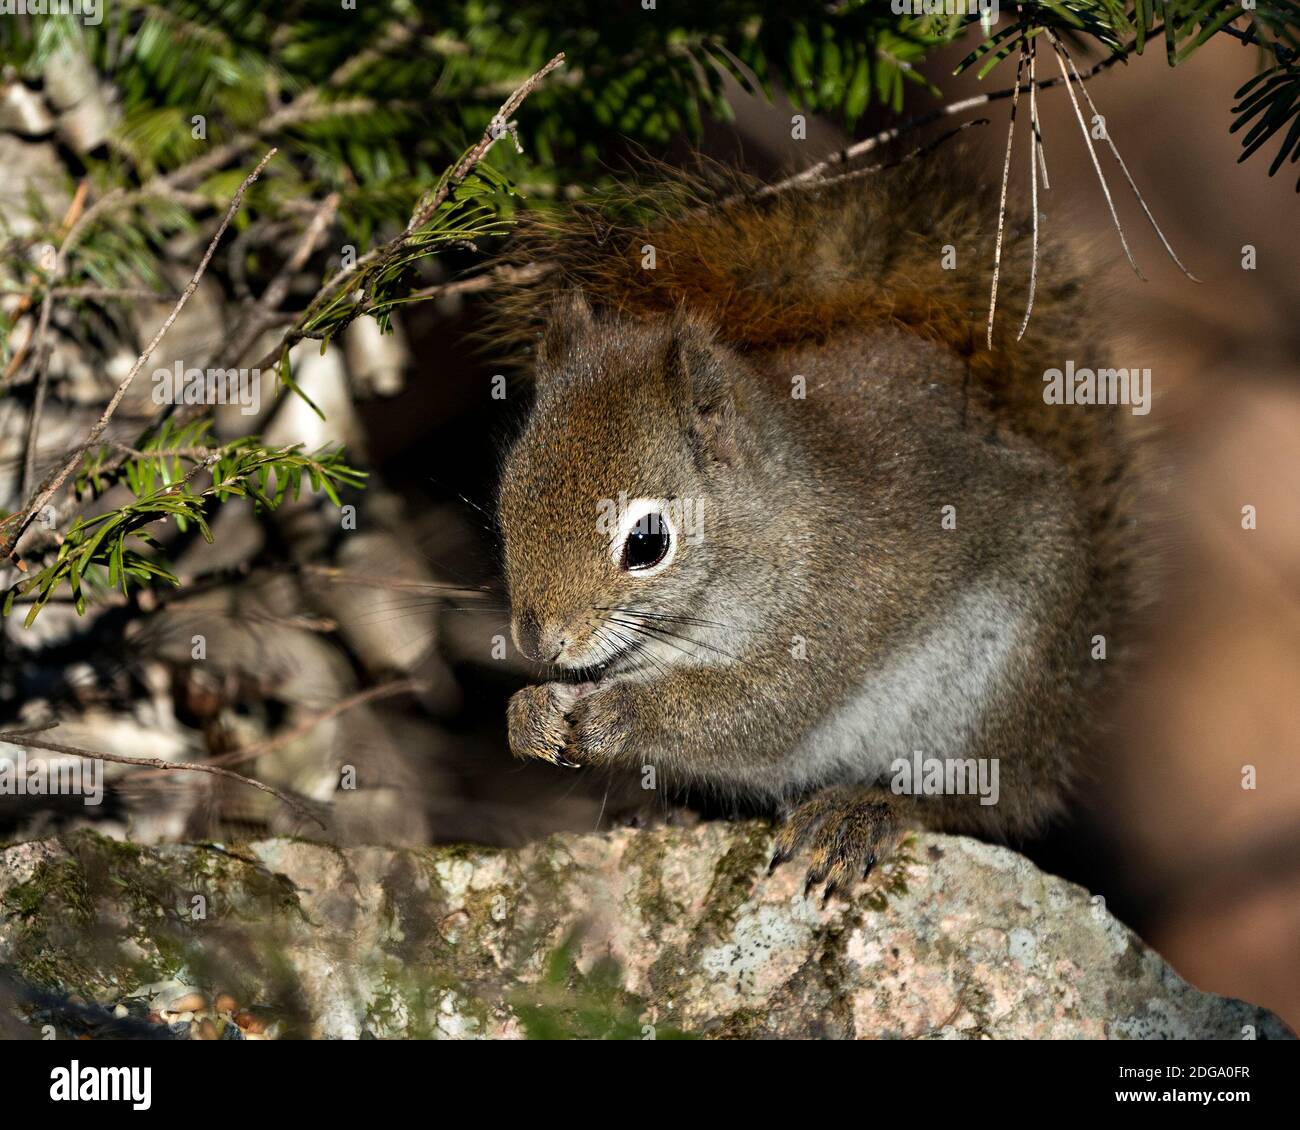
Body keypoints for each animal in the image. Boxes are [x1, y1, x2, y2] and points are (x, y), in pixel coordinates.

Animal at [492, 156, 1141, 899]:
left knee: (974, 805)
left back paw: (865, 809)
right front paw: (529, 715)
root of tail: (1055, 736)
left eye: (647, 542)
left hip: (991, 693)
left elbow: (758, 712)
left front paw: (619, 717)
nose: (540, 640)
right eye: (508, 499)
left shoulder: (832, 614)